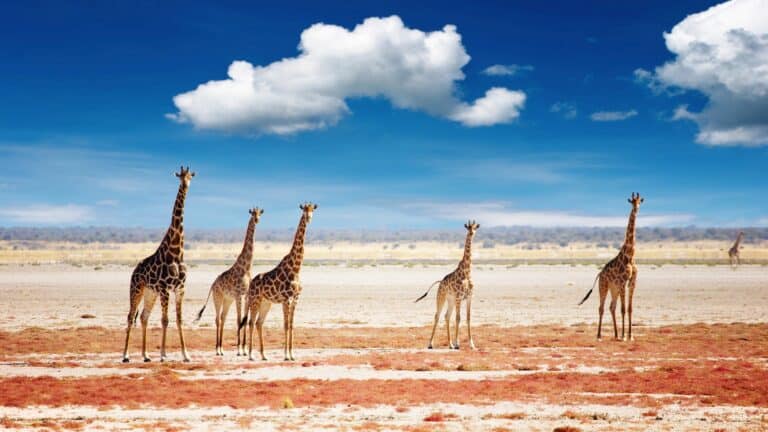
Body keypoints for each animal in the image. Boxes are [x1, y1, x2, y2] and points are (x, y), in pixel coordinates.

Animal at [122, 166, 194, 363]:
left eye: (190, 176)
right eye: (180, 176)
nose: (185, 186)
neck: (176, 252)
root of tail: (134, 271)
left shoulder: (180, 289)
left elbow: (179, 319)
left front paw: (186, 355)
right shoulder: (164, 289)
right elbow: (165, 320)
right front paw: (162, 355)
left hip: (150, 293)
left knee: (143, 317)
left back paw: (146, 355)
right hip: (137, 289)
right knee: (130, 316)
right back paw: (125, 355)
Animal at [195, 207, 264, 356]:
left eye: (260, 213)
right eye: (252, 214)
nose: (257, 220)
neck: (246, 267)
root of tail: (212, 285)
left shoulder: (247, 295)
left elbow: (245, 319)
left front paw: (244, 349)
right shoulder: (238, 295)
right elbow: (239, 320)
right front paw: (239, 349)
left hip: (228, 300)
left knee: (223, 318)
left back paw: (221, 349)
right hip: (218, 298)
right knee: (217, 319)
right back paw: (217, 349)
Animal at [240, 203, 317, 361]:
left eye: (313, 210)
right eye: (304, 210)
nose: (309, 218)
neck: (296, 268)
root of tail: (251, 285)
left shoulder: (295, 299)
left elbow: (291, 325)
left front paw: (292, 354)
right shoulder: (286, 299)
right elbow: (285, 325)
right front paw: (286, 355)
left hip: (266, 303)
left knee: (259, 323)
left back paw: (264, 355)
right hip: (255, 300)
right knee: (251, 322)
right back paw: (250, 355)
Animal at [415, 220, 479, 350]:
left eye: (475, 227)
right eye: (468, 228)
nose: (471, 233)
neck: (467, 272)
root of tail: (440, 282)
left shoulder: (469, 297)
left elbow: (468, 318)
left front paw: (472, 345)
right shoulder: (459, 297)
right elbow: (458, 318)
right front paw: (457, 343)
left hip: (451, 300)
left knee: (446, 316)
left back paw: (450, 344)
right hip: (442, 297)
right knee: (437, 316)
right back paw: (431, 344)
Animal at [578, 192, 643, 341]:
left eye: (640, 202)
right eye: (632, 202)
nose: (636, 209)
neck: (630, 256)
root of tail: (599, 274)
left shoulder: (632, 282)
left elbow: (629, 308)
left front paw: (630, 336)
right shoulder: (622, 282)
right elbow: (623, 309)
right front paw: (624, 336)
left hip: (614, 288)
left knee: (611, 307)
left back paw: (615, 334)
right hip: (604, 286)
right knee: (601, 308)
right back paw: (599, 335)